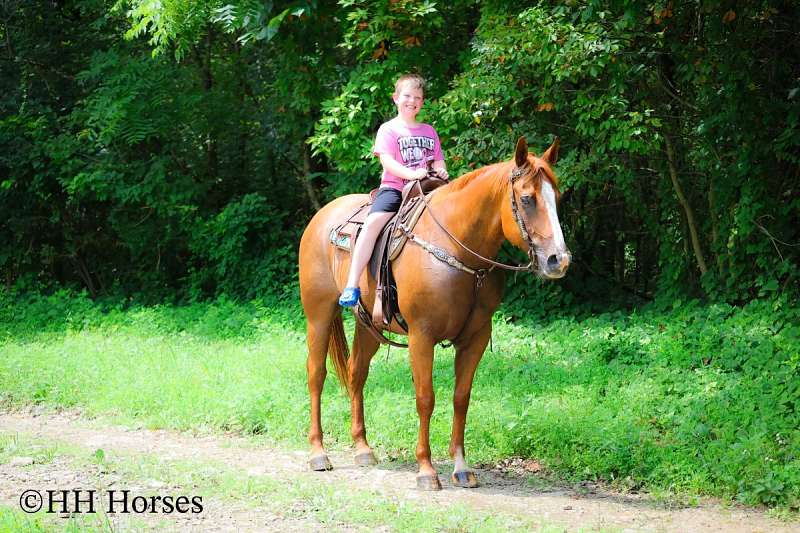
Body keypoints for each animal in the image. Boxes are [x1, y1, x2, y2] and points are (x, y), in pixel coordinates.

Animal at [298, 136, 570, 490]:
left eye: (558, 198)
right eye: (527, 199)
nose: (558, 260)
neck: (458, 250)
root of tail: (321, 216)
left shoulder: (475, 339)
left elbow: (461, 398)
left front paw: (461, 467)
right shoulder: (421, 336)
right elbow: (425, 398)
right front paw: (426, 469)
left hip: (369, 325)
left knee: (357, 373)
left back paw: (362, 448)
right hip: (318, 315)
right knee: (316, 375)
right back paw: (318, 452)